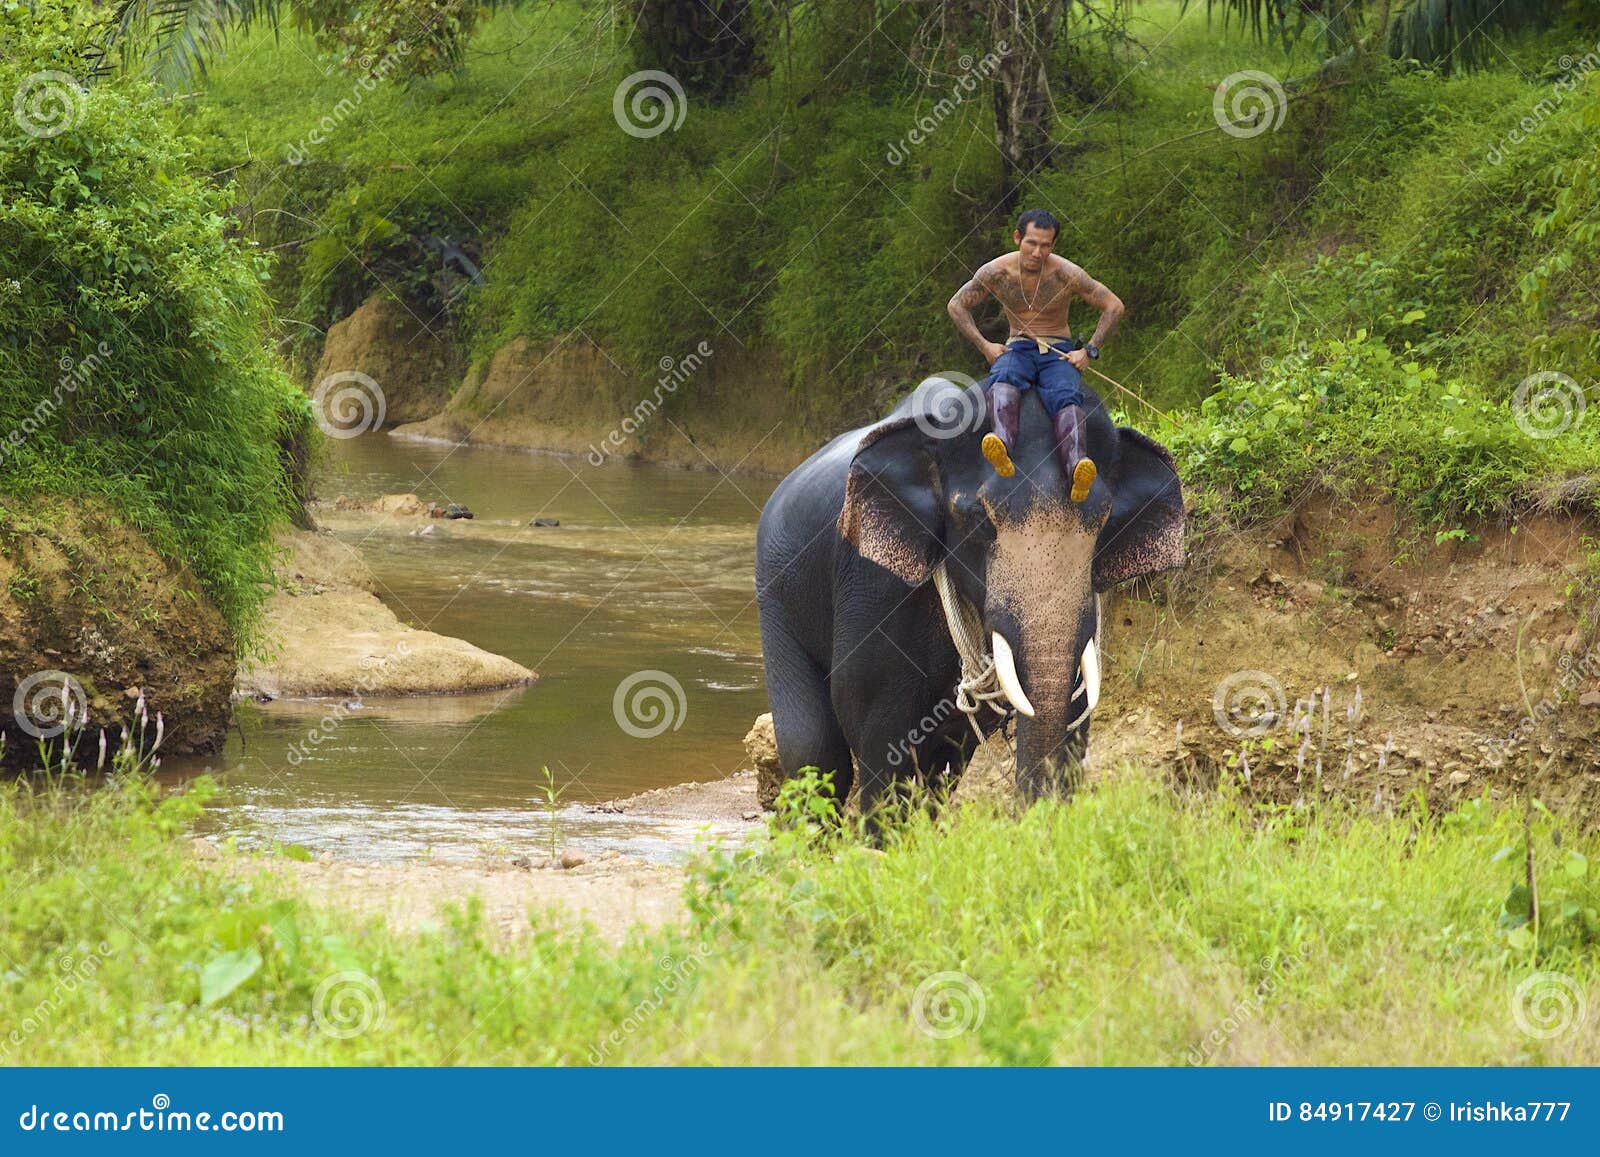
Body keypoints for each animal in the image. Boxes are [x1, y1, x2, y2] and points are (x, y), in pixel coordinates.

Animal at [754, 375, 1185, 821]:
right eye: (979, 520)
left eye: (1103, 522)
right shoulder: (872, 583)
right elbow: (874, 724)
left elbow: (1075, 708)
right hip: (774, 592)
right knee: (814, 751)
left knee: (945, 757)